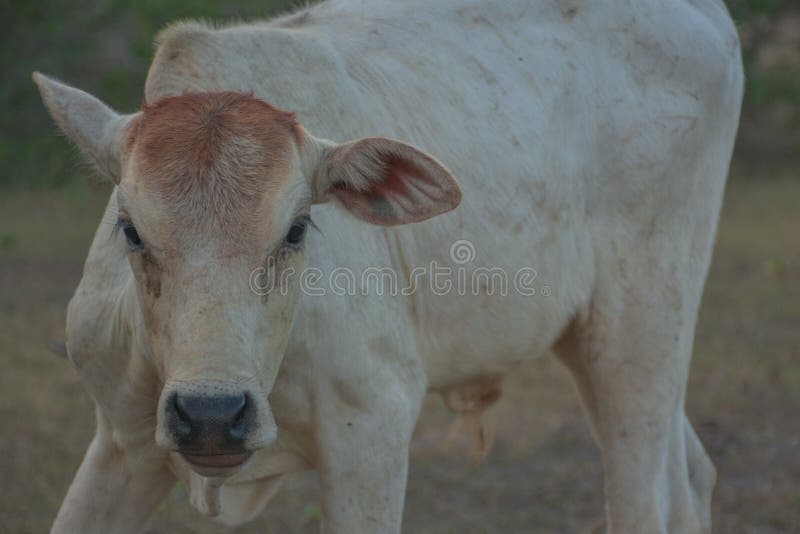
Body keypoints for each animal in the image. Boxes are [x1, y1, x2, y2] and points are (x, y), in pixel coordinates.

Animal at [34, 0, 743, 532]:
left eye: (297, 228)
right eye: (130, 229)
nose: (212, 415)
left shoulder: (370, 435)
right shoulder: (119, 443)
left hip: (642, 329)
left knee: (646, 496)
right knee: (691, 475)